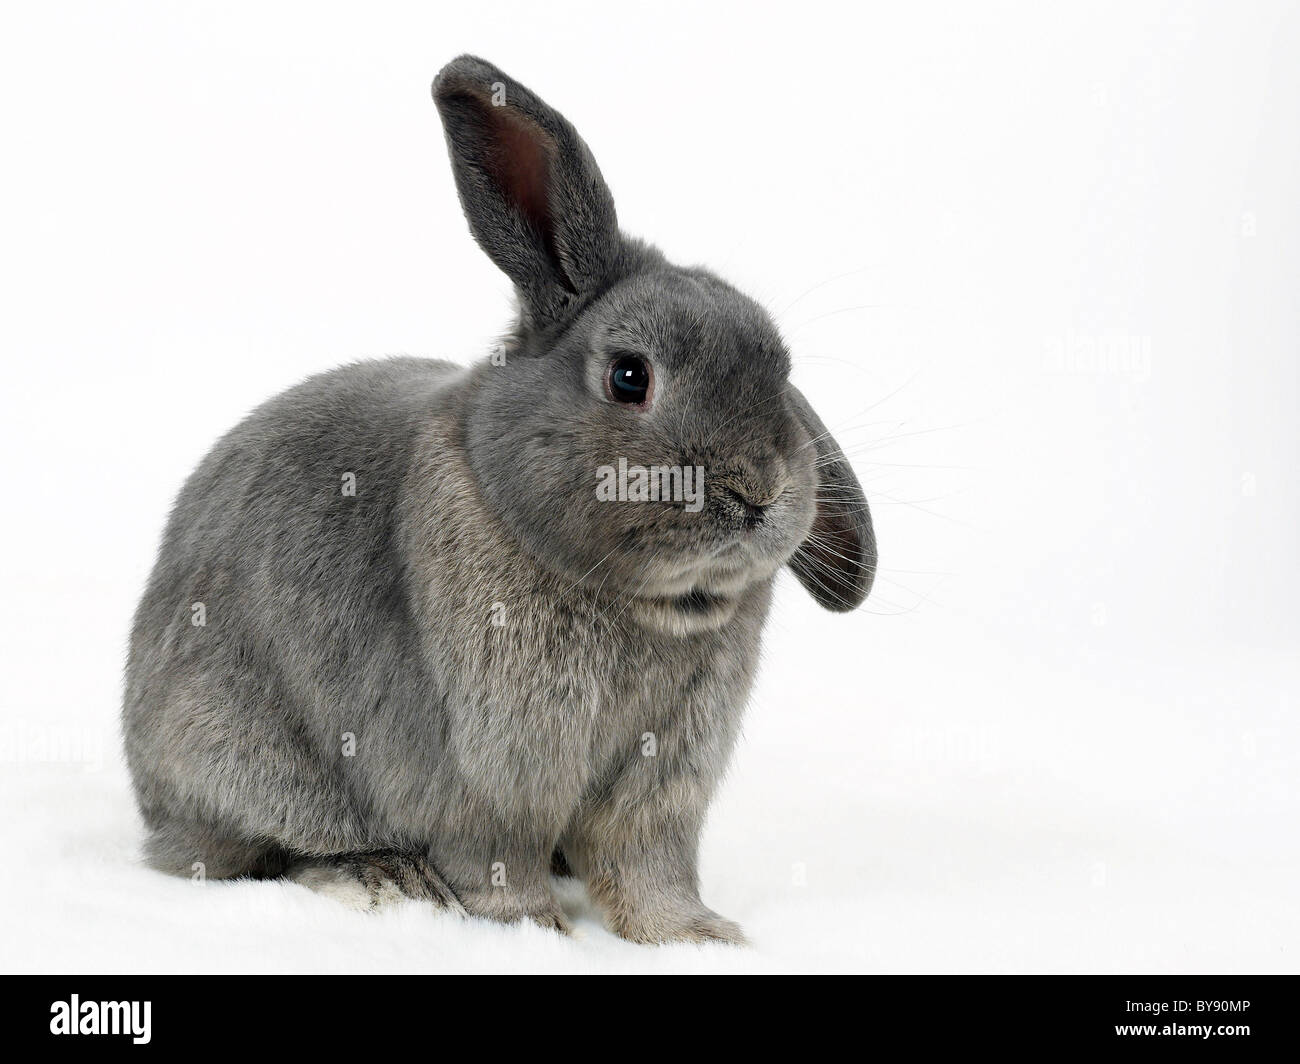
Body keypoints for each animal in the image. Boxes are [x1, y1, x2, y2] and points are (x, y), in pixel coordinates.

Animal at [122, 54, 875, 945]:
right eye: (630, 377)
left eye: (781, 373)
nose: (758, 493)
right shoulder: (493, 772)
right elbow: (499, 857)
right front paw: (533, 930)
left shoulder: (661, 785)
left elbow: (650, 868)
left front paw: (697, 935)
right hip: (239, 754)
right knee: (266, 849)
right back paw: (380, 879)